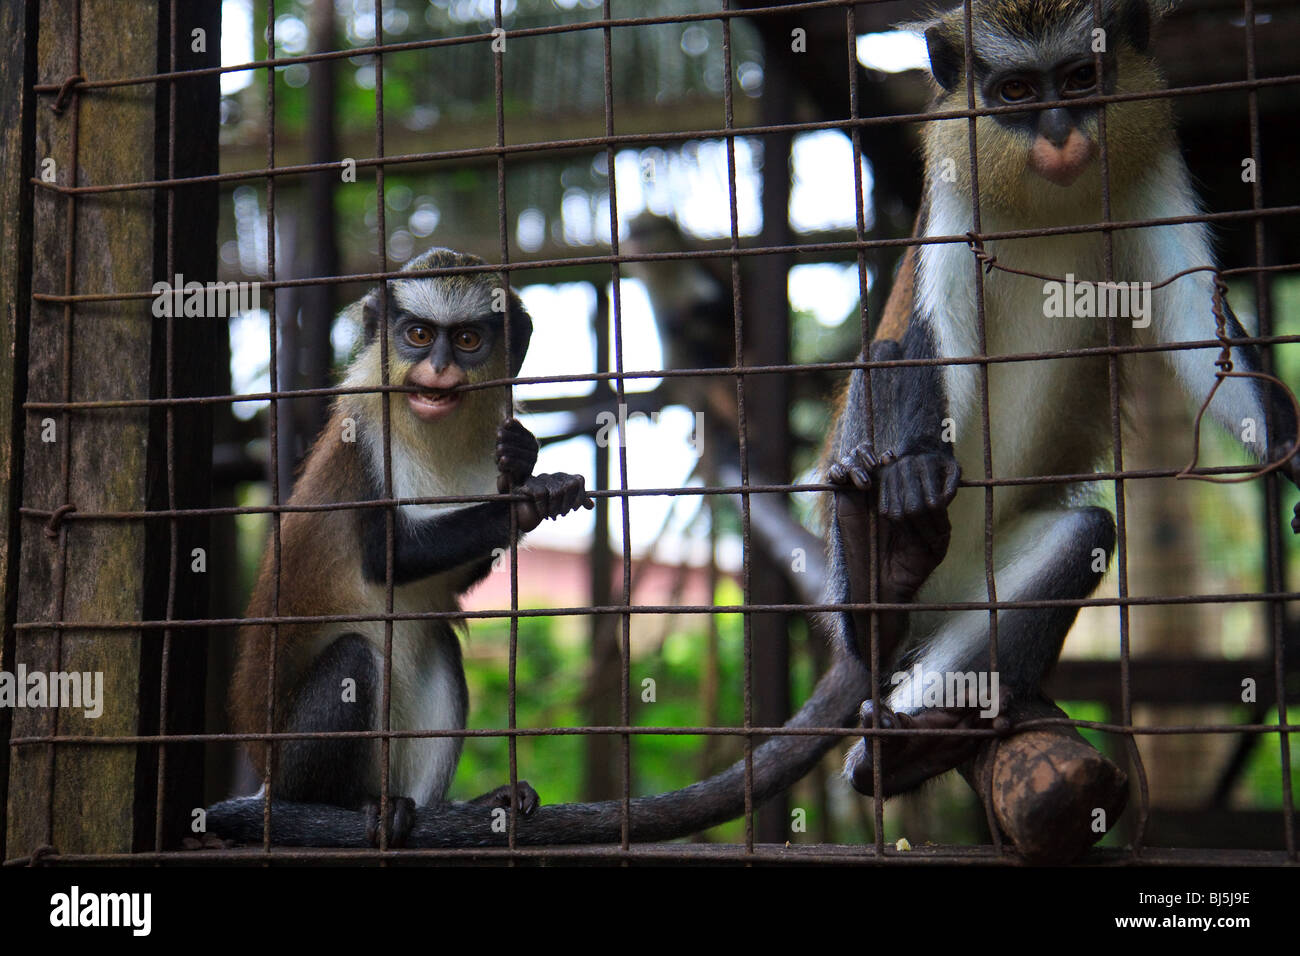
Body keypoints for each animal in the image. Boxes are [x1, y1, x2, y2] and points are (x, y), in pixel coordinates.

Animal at [217, 248, 594, 847]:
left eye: (466, 340)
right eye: (418, 334)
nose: (437, 370)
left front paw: (523, 457)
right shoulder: (364, 444)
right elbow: (389, 557)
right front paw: (531, 497)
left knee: (439, 640)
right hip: (293, 762)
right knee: (353, 658)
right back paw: (351, 806)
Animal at [823, 0, 1300, 798]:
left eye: (1079, 78)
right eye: (1015, 91)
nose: (1057, 133)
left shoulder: (1148, 171)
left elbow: (1200, 333)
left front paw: (1296, 454)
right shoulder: (955, 178)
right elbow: (939, 336)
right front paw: (916, 464)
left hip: (975, 577)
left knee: (1083, 535)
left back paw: (911, 745)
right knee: (883, 358)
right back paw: (879, 569)